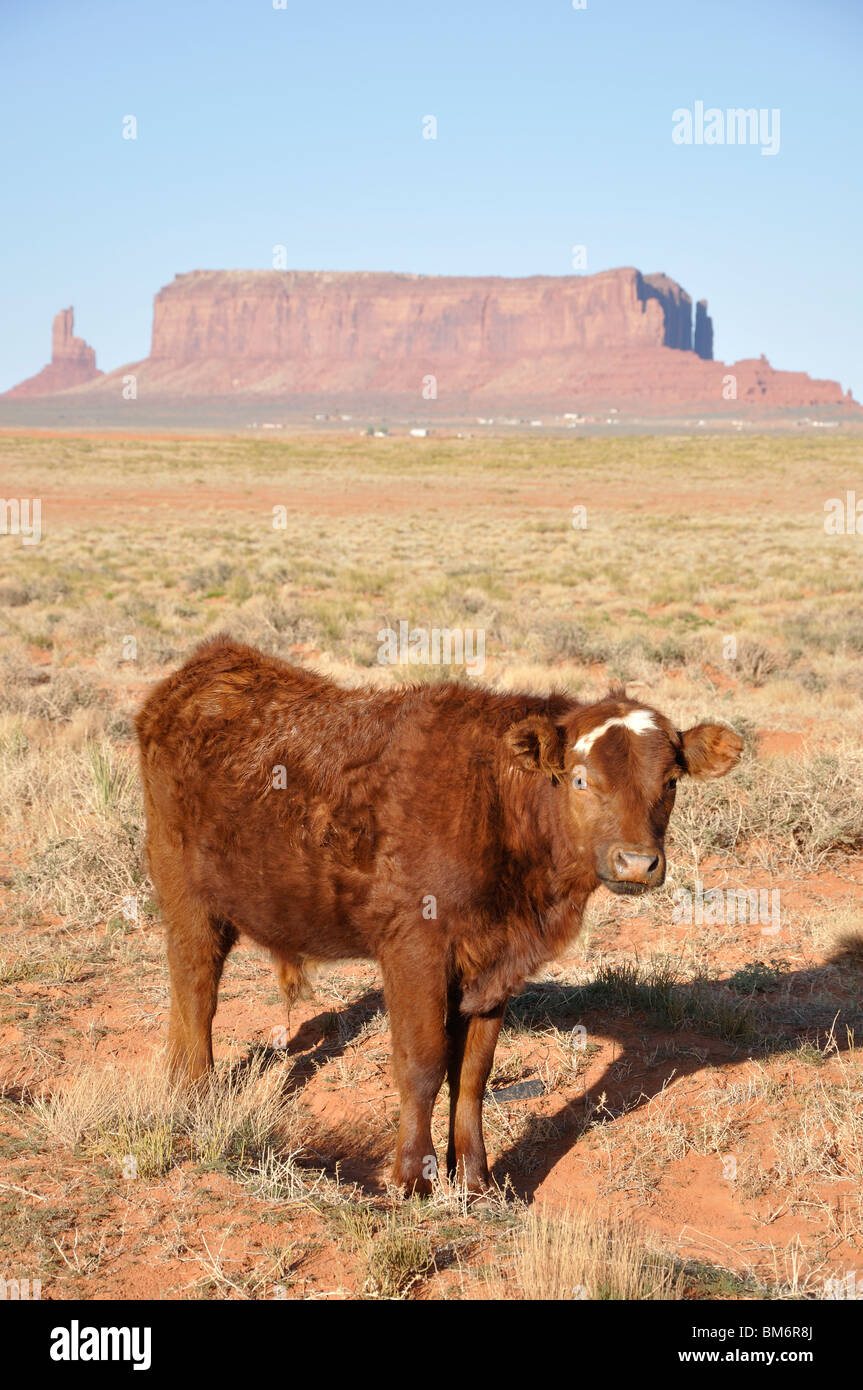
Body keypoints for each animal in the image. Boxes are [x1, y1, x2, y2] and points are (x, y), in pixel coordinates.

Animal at [135, 635, 743, 1195]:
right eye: (580, 778)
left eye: (670, 782)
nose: (637, 862)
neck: (495, 804)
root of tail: (207, 668)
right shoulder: (414, 952)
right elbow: (422, 1064)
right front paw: (413, 1177)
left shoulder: (496, 965)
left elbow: (472, 1072)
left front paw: (475, 1177)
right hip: (186, 896)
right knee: (196, 993)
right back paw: (195, 1097)